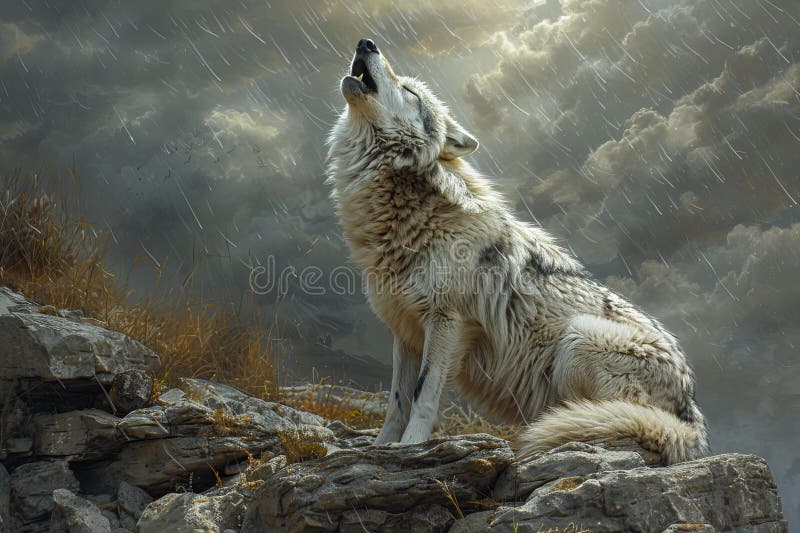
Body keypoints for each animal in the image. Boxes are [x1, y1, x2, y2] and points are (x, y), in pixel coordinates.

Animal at [326, 38, 709, 464]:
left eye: (409, 91)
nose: (366, 42)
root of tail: (692, 414)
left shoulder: (446, 322)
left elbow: (423, 396)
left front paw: (410, 448)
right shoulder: (405, 332)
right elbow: (396, 401)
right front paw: (380, 449)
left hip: (576, 339)